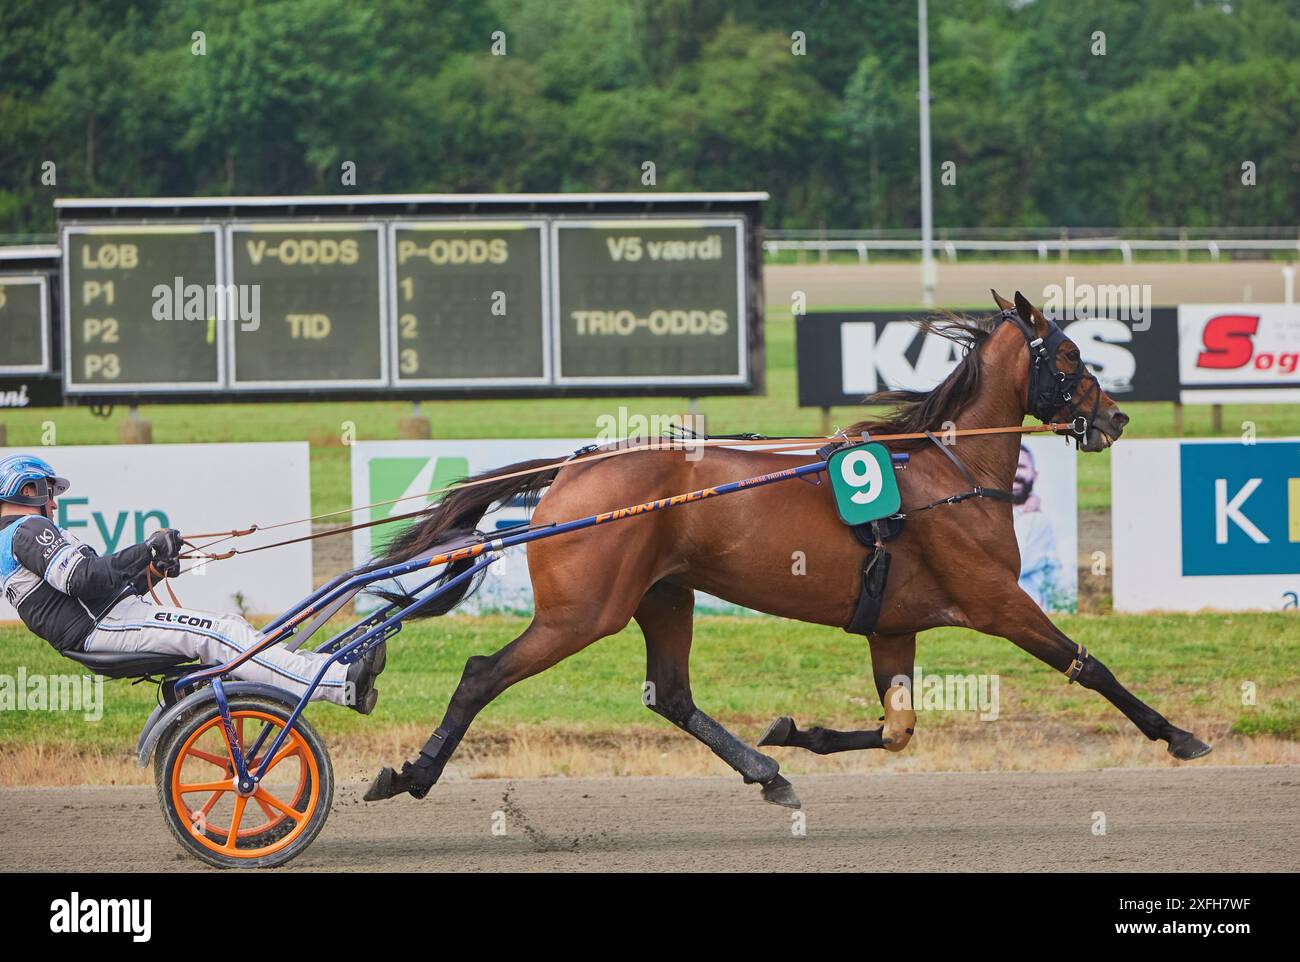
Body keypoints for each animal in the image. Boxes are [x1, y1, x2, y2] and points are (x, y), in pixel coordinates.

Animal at [363, 290, 1212, 808]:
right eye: (1068, 358)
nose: (1116, 419)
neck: (949, 471)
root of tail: (575, 466)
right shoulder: (996, 600)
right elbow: (1088, 666)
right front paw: (1177, 735)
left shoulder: (892, 625)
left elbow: (899, 729)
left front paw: (797, 733)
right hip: (583, 613)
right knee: (482, 674)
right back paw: (413, 774)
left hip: (662, 594)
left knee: (673, 696)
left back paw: (767, 771)